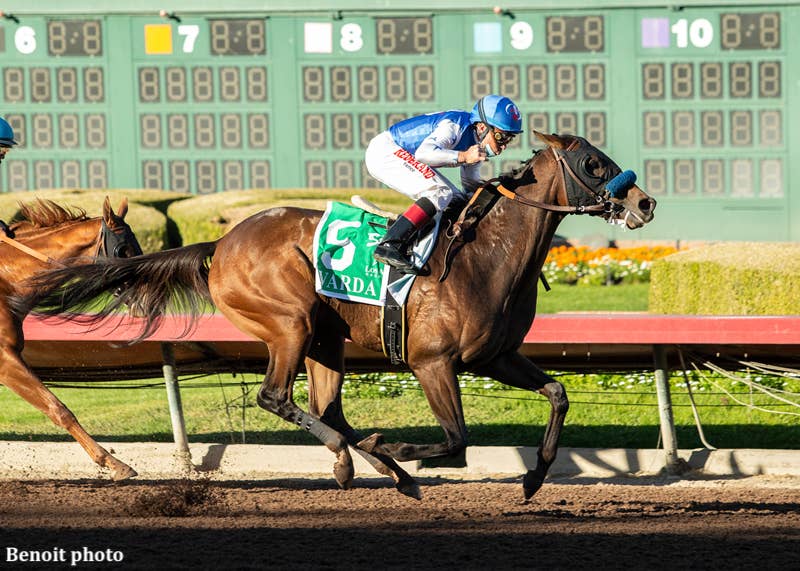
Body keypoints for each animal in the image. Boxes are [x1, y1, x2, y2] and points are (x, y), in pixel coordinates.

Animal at [18, 133, 656, 499]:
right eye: (593, 164)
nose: (645, 202)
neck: (487, 255)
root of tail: (221, 244)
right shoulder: (432, 362)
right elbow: (456, 439)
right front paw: (399, 448)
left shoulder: (494, 356)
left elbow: (558, 396)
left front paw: (533, 477)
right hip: (290, 323)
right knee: (276, 397)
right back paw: (359, 463)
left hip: (326, 341)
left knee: (326, 409)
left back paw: (379, 470)